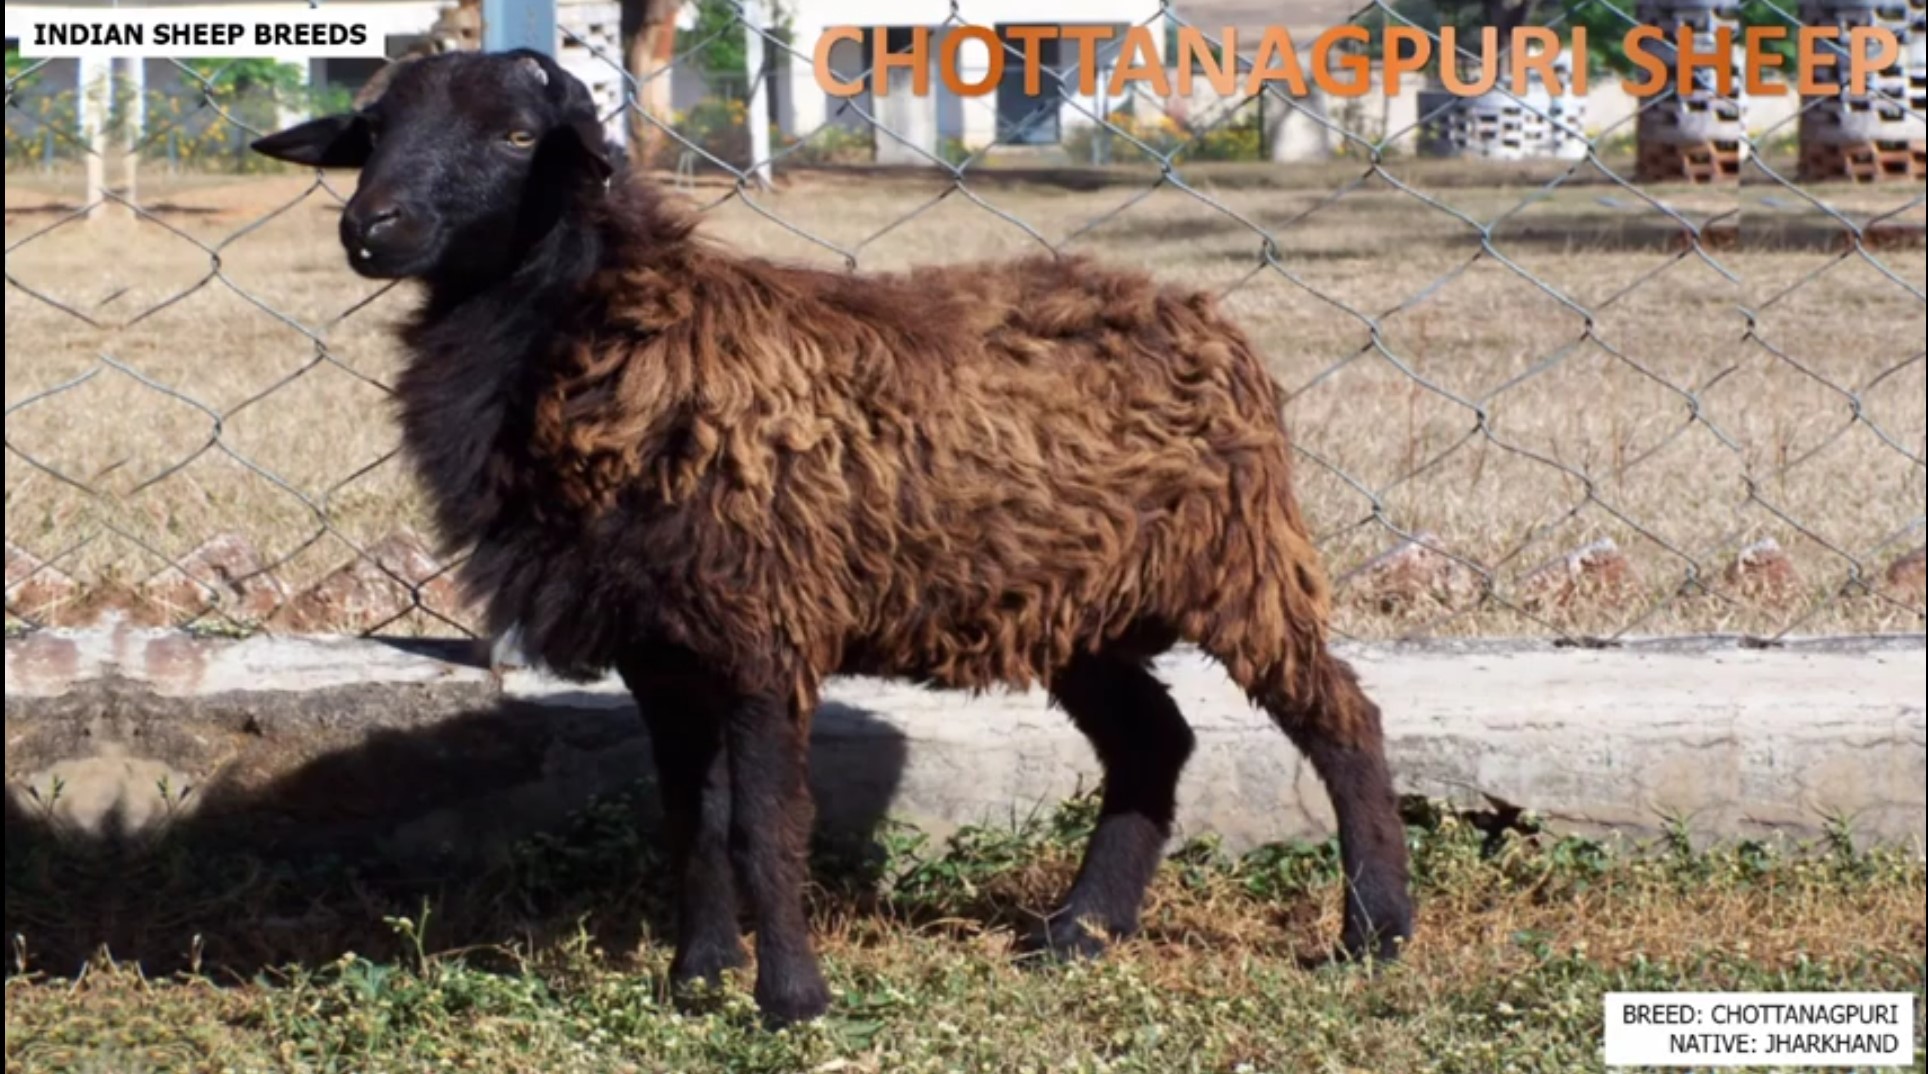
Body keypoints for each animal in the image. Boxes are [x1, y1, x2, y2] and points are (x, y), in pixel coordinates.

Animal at [251, 49, 1413, 1026]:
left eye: (516, 135)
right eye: (373, 128)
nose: (372, 228)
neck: (617, 327)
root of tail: (1199, 308)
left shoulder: (764, 627)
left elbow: (764, 824)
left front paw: (792, 1000)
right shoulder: (660, 649)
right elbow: (689, 820)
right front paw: (697, 980)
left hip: (1241, 566)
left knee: (1341, 717)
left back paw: (1372, 930)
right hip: (1068, 598)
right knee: (1152, 740)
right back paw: (1079, 931)